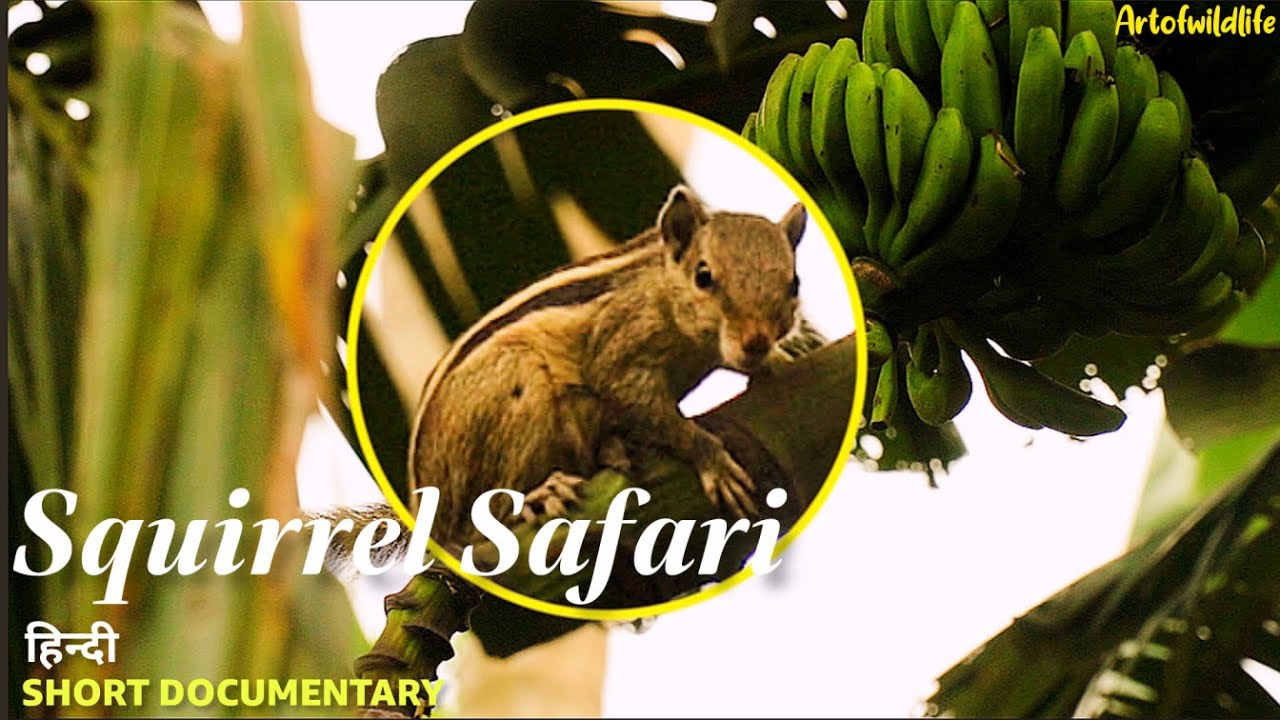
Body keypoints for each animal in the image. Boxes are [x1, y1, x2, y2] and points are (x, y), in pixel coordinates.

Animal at [319, 185, 826, 572]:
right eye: (704, 276)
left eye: (794, 284)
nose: (756, 341)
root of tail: (426, 510)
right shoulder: (619, 348)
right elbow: (650, 408)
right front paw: (713, 460)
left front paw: (782, 358)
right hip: (514, 392)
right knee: (473, 523)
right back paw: (535, 496)